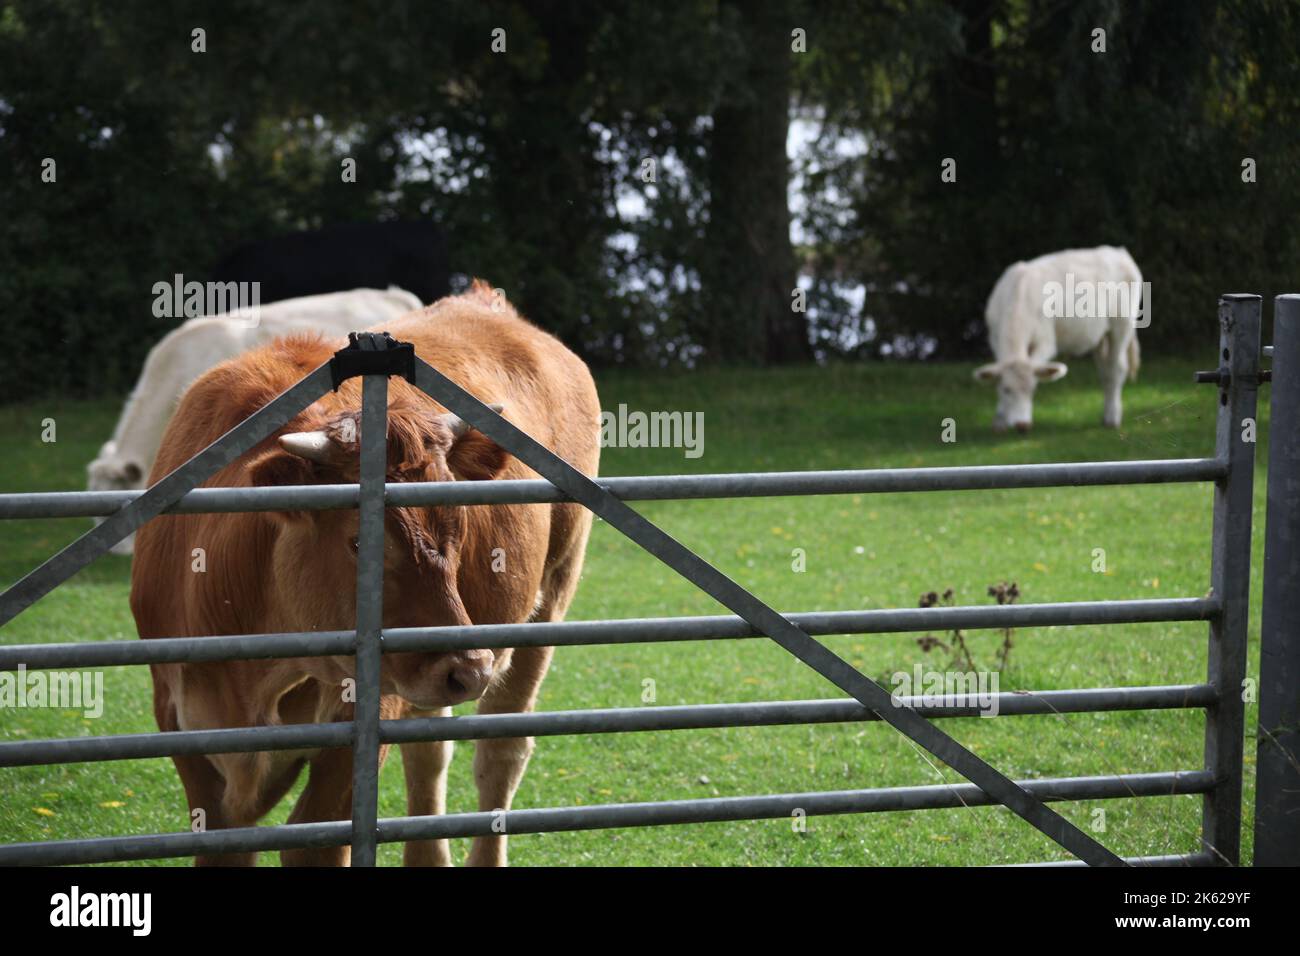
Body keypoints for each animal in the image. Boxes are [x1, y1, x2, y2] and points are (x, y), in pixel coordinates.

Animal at [129, 281, 601, 866]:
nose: (469, 668)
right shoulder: (180, 724)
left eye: (459, 524)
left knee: (501, 753)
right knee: (429, 753)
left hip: (548, 601)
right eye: (360, 541)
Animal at [973, 246, 1143, 431]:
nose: (1022, 425)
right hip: (1100, 337)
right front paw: (999, 421)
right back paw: (1105, 415)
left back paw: (1113, 418)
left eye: (1033, 390)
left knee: (1116, 368)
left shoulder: (1046, 341)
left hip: (1122, 325)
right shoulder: (994, 338)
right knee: (1105, 370)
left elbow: (1036, 364)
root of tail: (1119, 252)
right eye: (1006, 390)